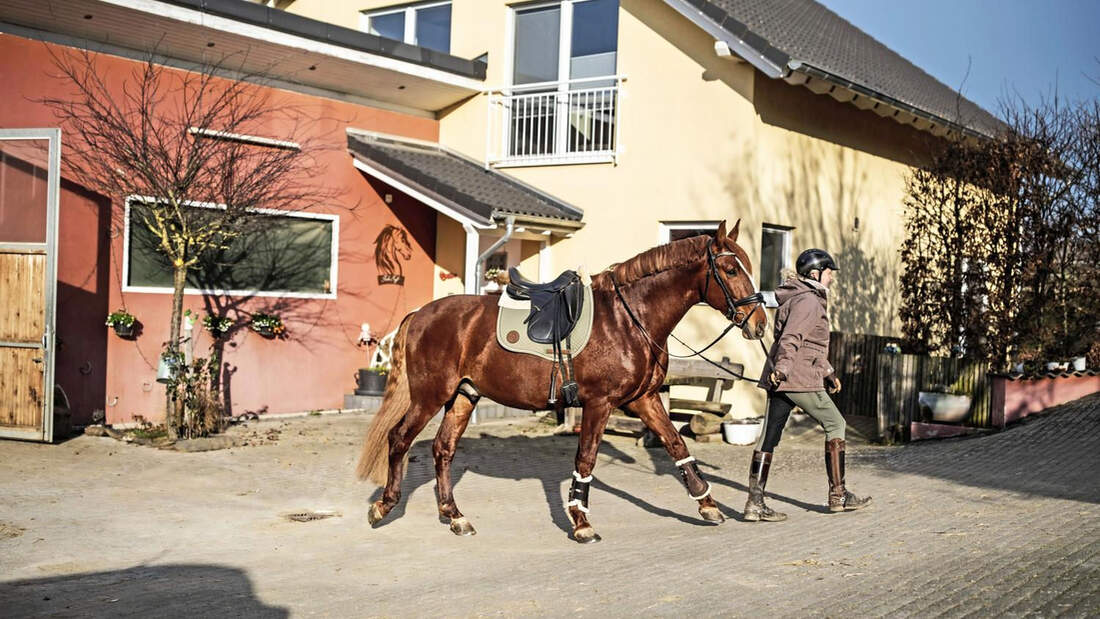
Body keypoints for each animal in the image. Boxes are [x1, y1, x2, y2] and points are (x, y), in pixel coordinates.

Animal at [356, 220, 767, 543]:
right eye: (731, 270)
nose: (760, 323)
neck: (628, 319)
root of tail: (421, 313)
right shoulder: (600, 403)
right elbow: (586, 460)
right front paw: (581, 522)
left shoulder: (645, 399)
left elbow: (677, 446)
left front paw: (707, 504)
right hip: (430, 395)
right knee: (399, 438)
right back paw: (383, 506)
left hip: (463, 395)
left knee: (443, 449)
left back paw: (455, 516)